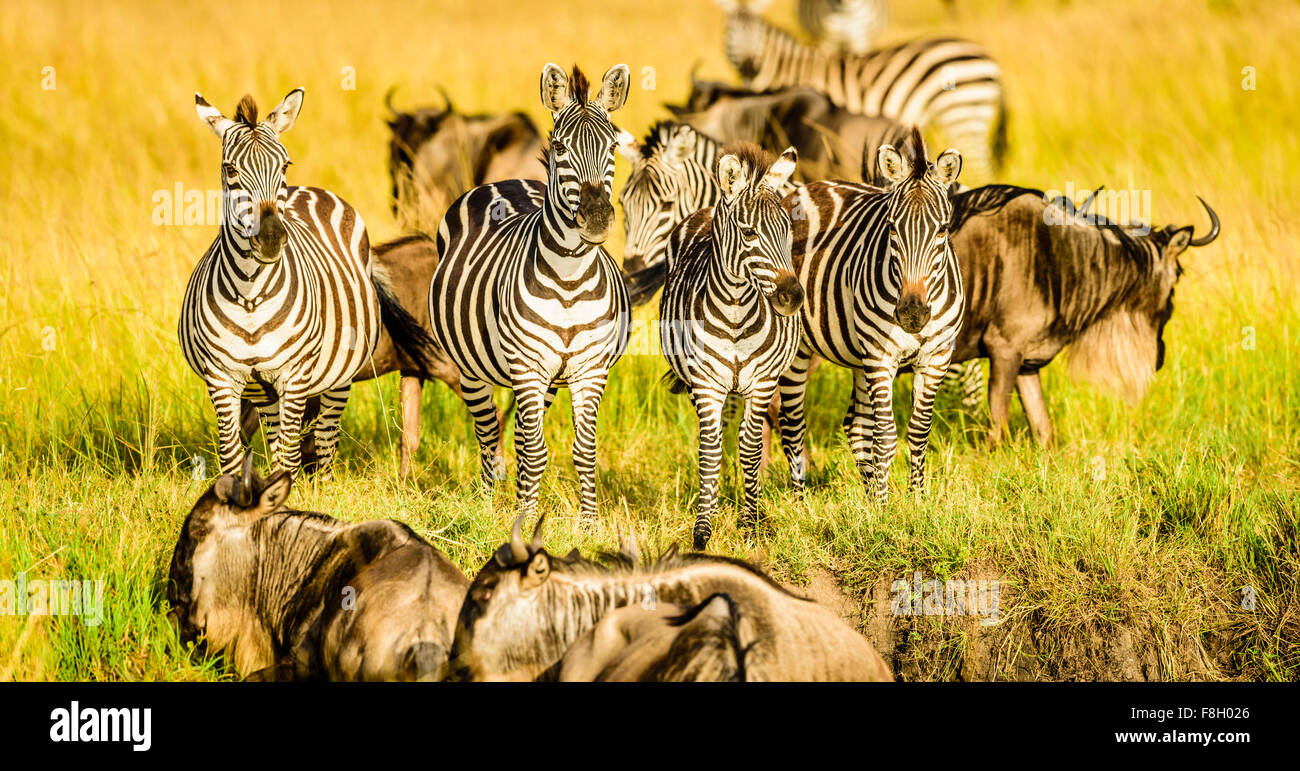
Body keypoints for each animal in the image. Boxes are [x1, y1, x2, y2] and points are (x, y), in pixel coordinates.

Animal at [182, 88, 433, 477]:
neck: (251, 295)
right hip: (264, 390)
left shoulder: (294, 375)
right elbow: (233, 456)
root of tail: (311, 190)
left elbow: (289, 456)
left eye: (285, 165)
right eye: (230, 169)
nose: (271, 238)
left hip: (337, 374)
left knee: (325, 439)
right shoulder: (222, 378)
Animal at [428, 64, 630, 519]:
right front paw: (524, 519)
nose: (596, 218)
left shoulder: (590, 369)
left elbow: (583, 451)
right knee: (488, 434)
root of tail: (507, 180)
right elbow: (535, 451)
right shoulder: (527, 366)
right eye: (559, 147)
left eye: (613, 146)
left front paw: (588, 524)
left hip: (551, 379)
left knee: (519, 435)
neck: (570, 280)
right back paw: (489, 504)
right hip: (473, 370)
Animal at [660, 143, 803, 549]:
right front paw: (702, 531)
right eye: (749, 233)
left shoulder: (762, 382)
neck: (737, 310)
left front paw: (750, 525)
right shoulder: (707, 384)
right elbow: (709, 450)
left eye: (789, 231)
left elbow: (751, 447)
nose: (793, 298)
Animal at [778, 127, 963, 502]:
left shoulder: (936, 357)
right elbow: (886, 435)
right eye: (891, 227)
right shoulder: (881, 356)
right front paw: (885, 506)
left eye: (942, 230)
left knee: (856, 426)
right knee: (793, 425)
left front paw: (915, 500)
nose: (912, 314)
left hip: (859, 357)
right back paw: (800, 499)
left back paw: (865, 496)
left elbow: (918, 432)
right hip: (801, 350)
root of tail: (804, 188)